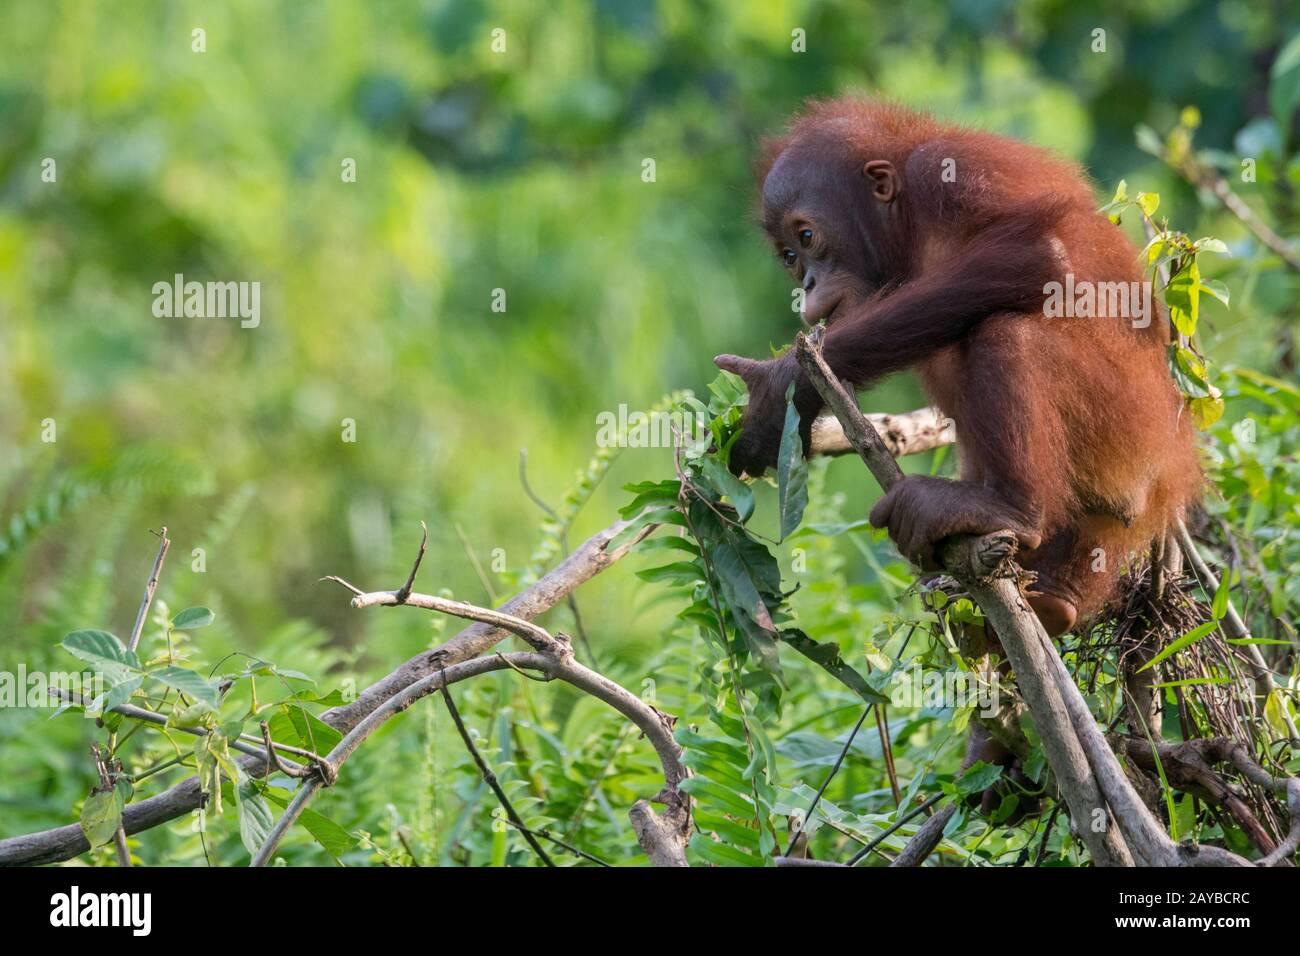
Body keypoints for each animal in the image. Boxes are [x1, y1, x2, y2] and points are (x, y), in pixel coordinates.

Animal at [715, 98, 1202, 641]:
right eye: (789, 257)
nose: (808, 282)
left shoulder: (948, 173)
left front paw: (781, 391)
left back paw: (1012, 511)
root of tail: (1172, 468)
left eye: (806, 236)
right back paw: (1051, 600)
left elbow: (1042, 253)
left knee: (1006, 334)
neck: (909, 221)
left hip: (1127, 429)